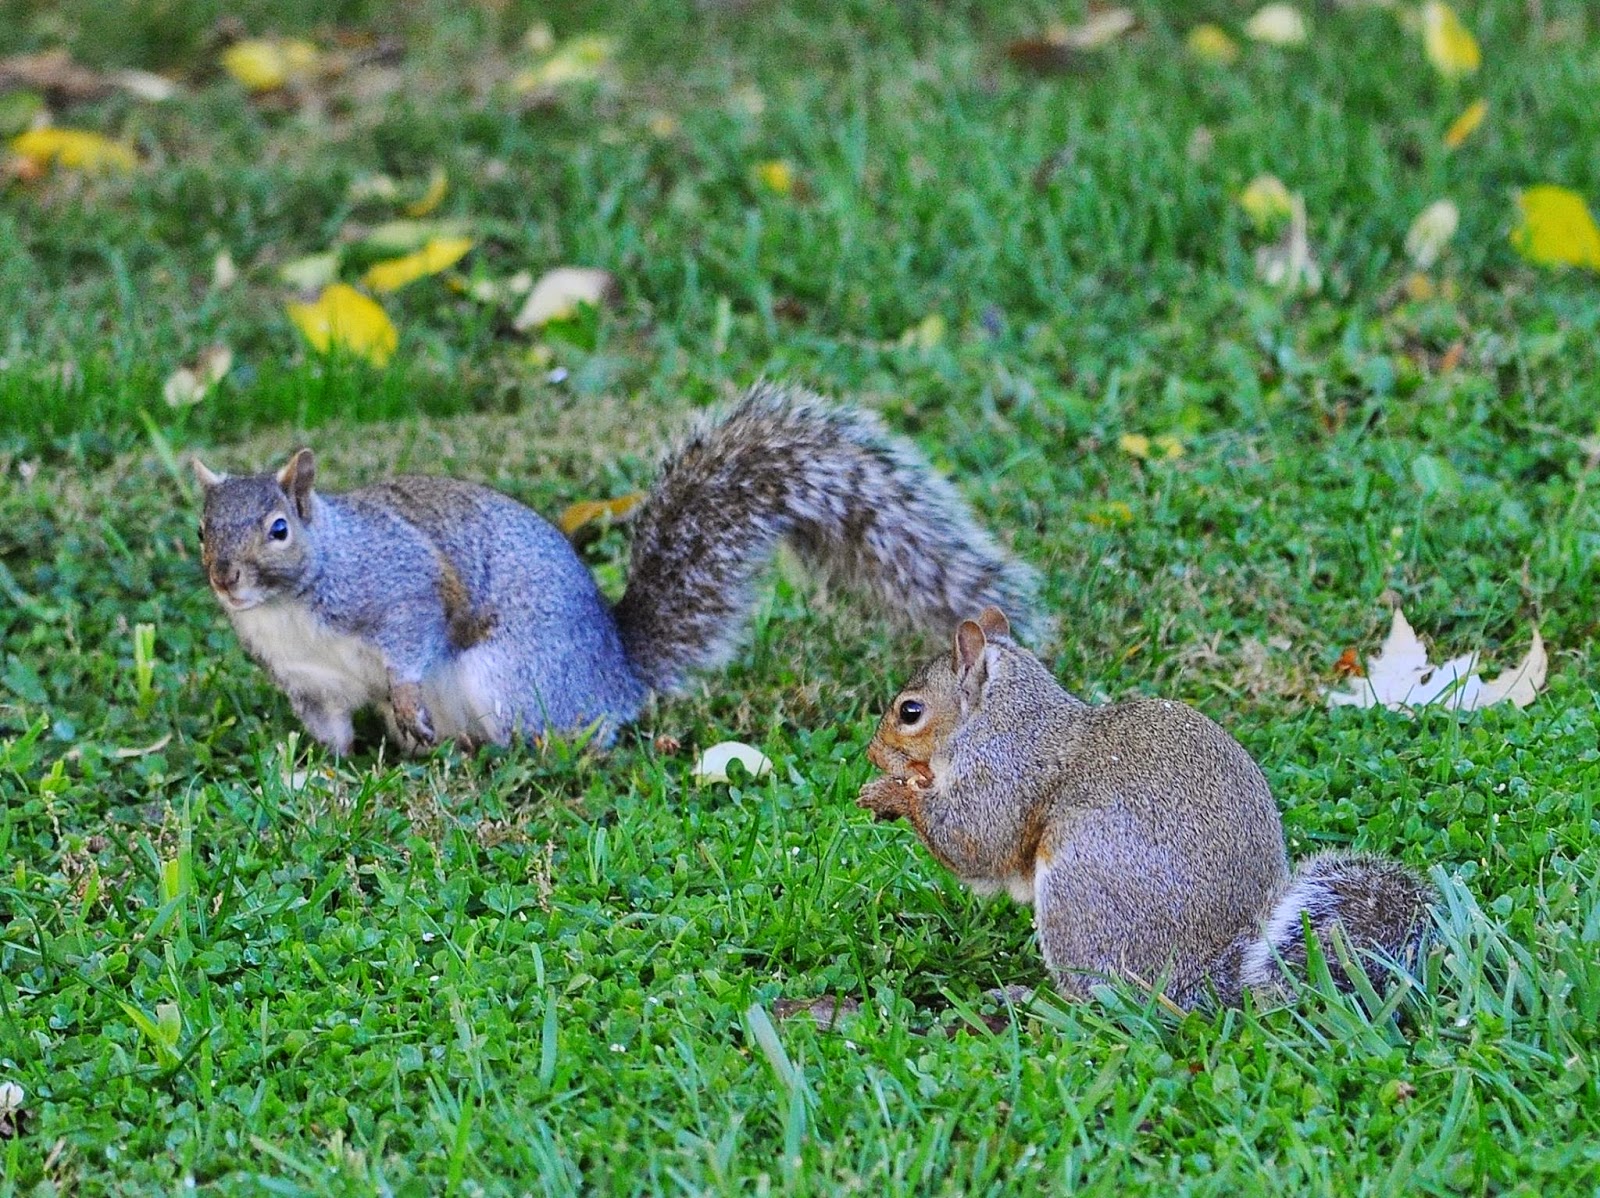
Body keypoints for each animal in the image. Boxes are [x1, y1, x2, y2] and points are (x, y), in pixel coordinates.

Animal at [192, 383, 1041, 755]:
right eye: (200, 529)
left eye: (277, 530)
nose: (225, 580)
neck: (292, 607)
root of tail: (617, 671)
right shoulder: (309, 680)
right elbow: (329, 726)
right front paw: (321, 770)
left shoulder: (396, 585)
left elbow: (413, 634)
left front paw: (400, 703)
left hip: (511, 680)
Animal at [856, 607, 1435, 1009]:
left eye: (910, 711)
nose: (871, 751)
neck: (1005, 722)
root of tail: (1203, 973)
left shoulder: (1003, 780)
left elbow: (973, 843)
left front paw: (891, 792)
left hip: (1078, 900)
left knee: (1093, 997)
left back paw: (1027, 999)